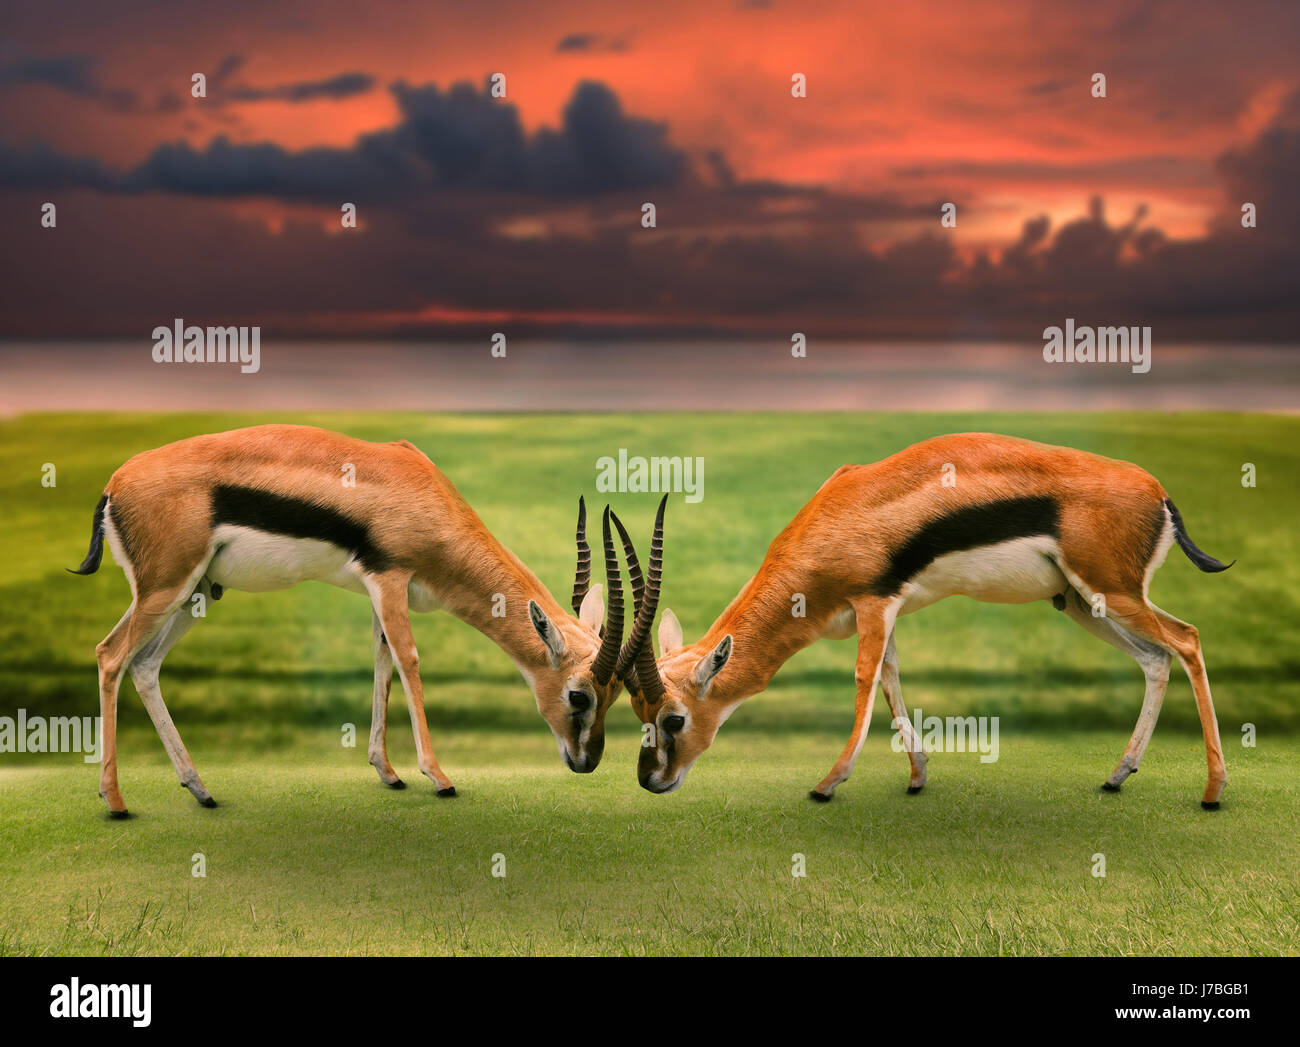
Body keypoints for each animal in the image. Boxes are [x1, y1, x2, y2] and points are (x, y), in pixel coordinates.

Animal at [69, 424, 655, 817]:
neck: (424, 495)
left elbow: (382, 666)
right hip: (166, 588)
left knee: (144, 666)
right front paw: (439, 777)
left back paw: (200, 789)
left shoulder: (376, 594)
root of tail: (114, 486)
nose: (586, 761)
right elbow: (410, 662)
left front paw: (388, 773)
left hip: (199, 592)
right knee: (110, 655)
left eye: (615, 696)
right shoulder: (389, 579)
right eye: (578, 696)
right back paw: (116, 801)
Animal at [627, 433, 1233, 808]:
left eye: (675, 719)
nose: (651, 780)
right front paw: (917, 776)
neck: (835, 520)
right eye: (638, 713)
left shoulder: (873, 604)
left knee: (1188, 640)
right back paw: (1117, 775)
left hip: (1112, 593)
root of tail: (1160, 494)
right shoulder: (889, 611)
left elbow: (865, 681)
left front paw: (827, 784)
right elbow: (892, 678)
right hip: (1085, 603)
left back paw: (1212, 791)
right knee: (1157, 659)